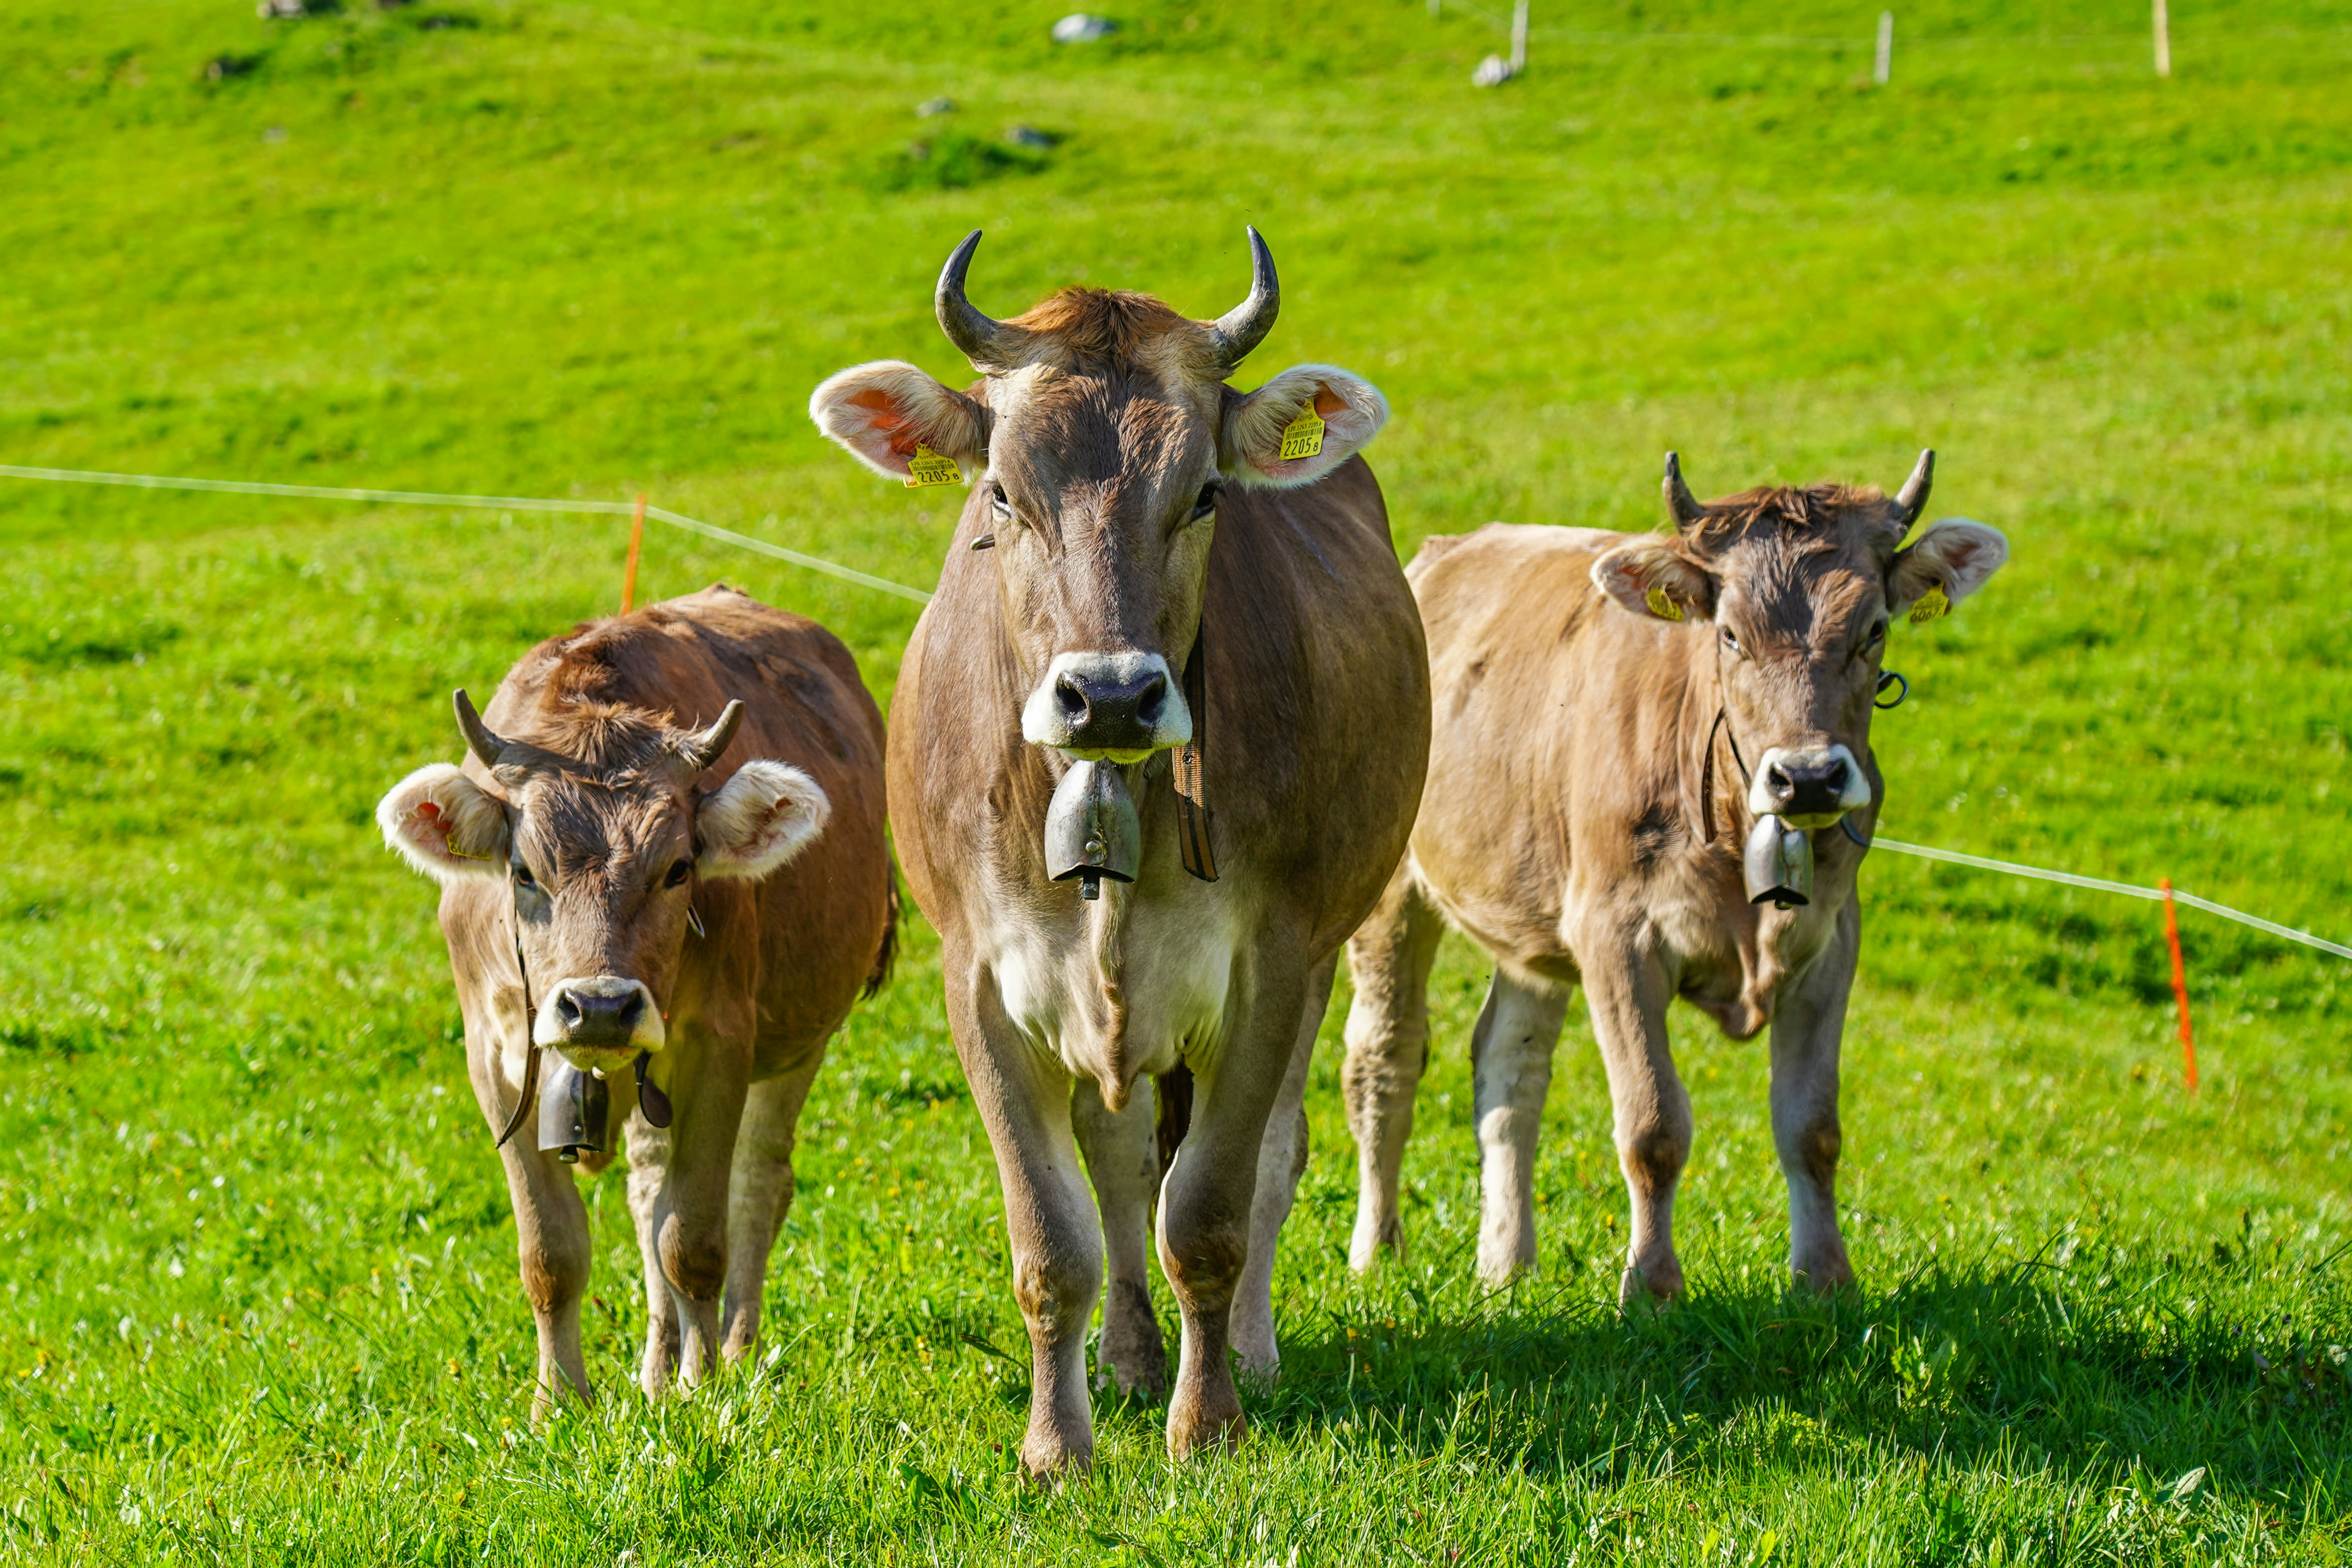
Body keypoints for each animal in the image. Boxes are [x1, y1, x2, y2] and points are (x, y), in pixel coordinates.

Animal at [373, 585, 893, 1409]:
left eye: (679, 868)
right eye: (524, 871)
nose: (600, 1007)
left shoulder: (719, 1045)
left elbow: (694, 1238)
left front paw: (702, 1387)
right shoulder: (494, 1058)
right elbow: (552, 1251)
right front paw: (559, 1400)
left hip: (800, 1040)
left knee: (759, 1182)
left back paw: (733, 1349)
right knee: (649, 1191)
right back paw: (654, 1367)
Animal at [809, 230, 1429, 1472]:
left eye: (1204, 494)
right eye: (1001, 493)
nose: (1108, 694)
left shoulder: (1269, 964)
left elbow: (1214, 1208)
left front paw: (1209, 1423)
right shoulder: (980, 979)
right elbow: (1057, 1237)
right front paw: (1059, 1444)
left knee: (1265, 1157)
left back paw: (1243, 1353)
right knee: (1121, 1157)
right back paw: (1134, 1358)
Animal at [1341, 455, 2007, 1301]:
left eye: (1873, 630)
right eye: (1729, 633)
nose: (1809, 777)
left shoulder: (1831, 942)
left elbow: (1812, 1128)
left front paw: (1825, 1279)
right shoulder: (1616, 937)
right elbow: (1653, 1125)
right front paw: (1652, 1286)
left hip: (1530, 916)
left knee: (1509, 1068)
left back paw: (1507, 1264)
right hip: (1392, 891)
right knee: (1384, 1057)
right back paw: (1376, 1249)